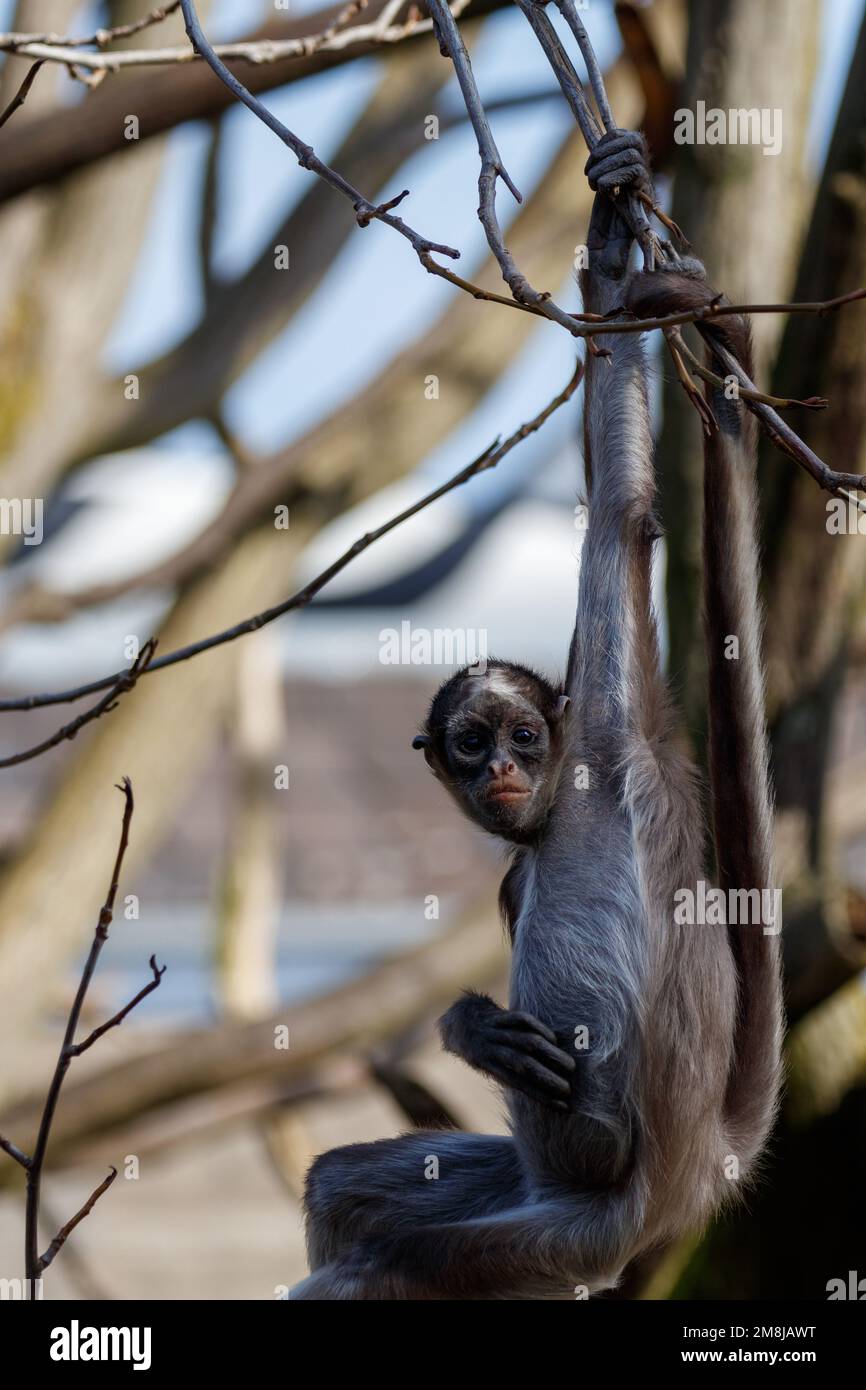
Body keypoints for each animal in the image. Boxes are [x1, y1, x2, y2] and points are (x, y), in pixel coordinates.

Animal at [290, 129, 783, 1300]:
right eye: (470, 746)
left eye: (521, 736)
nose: (504, 771)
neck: (558, 816)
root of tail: (694, 1174)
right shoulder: (518, 858)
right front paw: (470, 1029)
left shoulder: (607, 719)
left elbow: (621, 512)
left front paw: (607, 245)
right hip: (530, 1198)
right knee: (339, 1186)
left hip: (575, 1226)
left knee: (393, 1260)